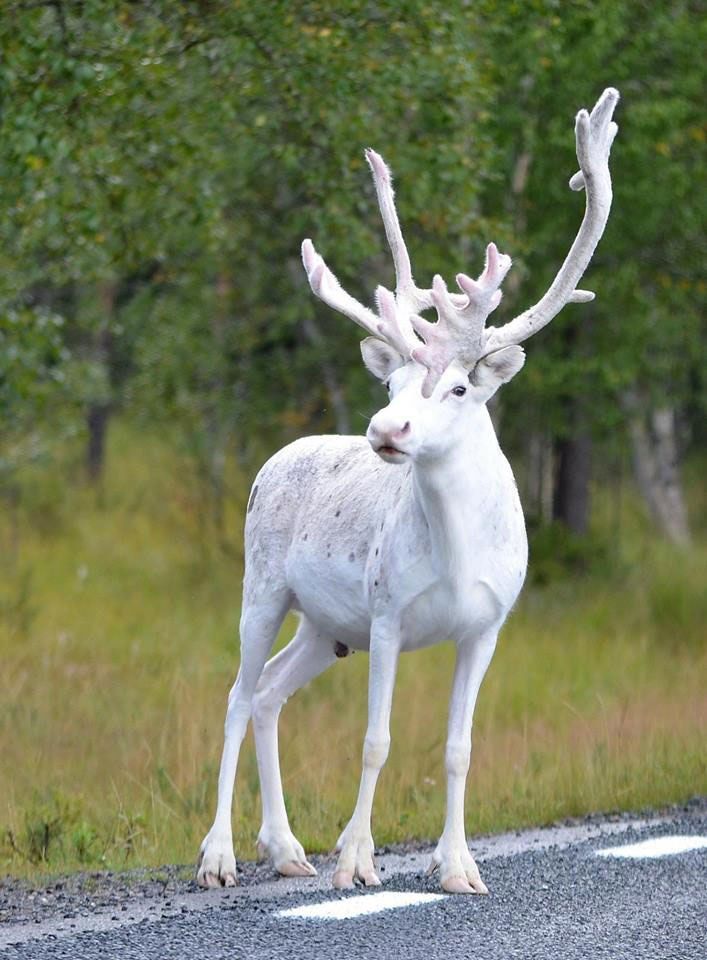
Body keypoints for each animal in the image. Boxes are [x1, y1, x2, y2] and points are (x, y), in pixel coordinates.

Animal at [197, 88, 619, 895]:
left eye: (457, 387)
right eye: (390, 383)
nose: (384, 428)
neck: (455, 555)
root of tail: (272, 460)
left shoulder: (486, 626)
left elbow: (458, 747)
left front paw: (457, 866)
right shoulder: (388, 613)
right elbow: (375, 739)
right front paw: (356, 861)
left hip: (324, 626)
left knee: (267, 692)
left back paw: (286, 847)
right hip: (261, 585)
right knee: (234, 694)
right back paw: (220, 856)